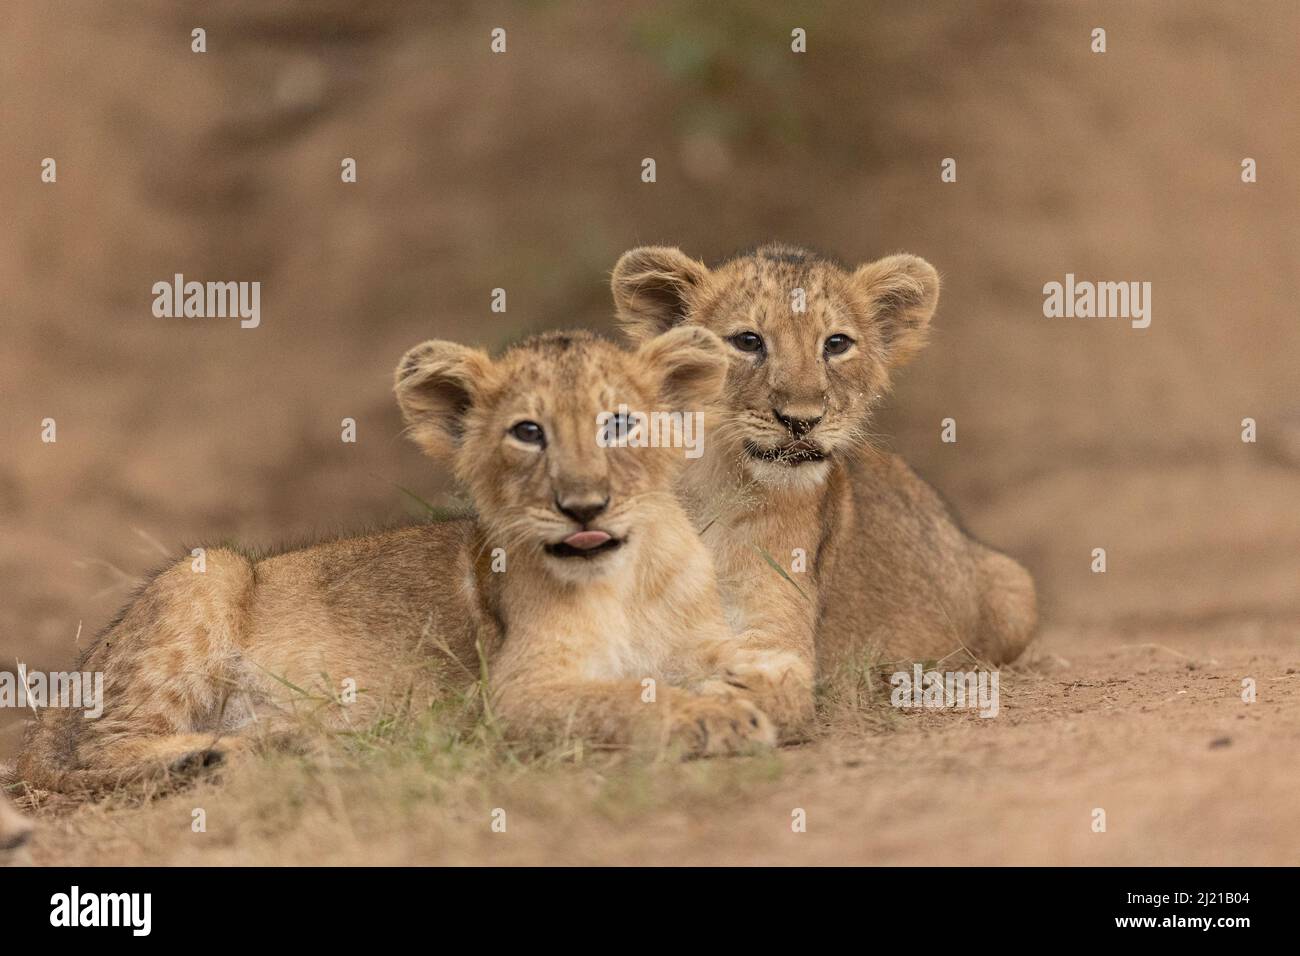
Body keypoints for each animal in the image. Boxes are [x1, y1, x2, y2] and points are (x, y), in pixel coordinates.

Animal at [18, 327, 785, 793]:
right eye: (528, 433)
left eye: (619, 424)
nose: (583, 506)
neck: (623, 580)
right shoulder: (515, 693)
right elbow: (623, 696)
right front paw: (716, 719)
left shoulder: (705, 640)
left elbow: (767, 668)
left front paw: (754, 696)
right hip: (212, 570)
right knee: (97, 752)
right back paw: (257, 746)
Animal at [611, 243, 1038, 720]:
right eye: (748, 341)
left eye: (836, 344)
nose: (802, 420)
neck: (715, 482)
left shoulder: (779, 636)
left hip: (1014, 588)